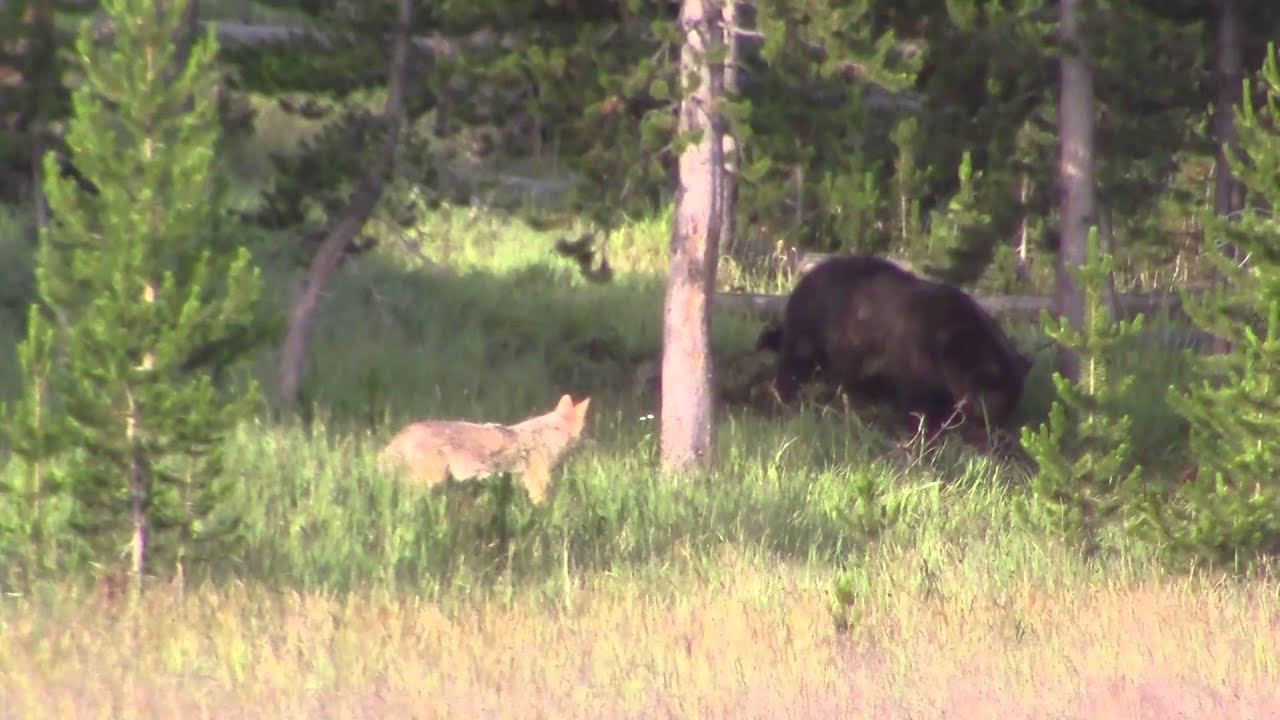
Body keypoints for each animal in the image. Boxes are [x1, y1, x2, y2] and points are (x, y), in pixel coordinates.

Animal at [761, 254, 1033, 437]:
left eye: (1013, 402)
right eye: (999, 405)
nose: (998, 427)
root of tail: (801, 282)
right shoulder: (916, 355)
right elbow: (916, 402)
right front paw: (924, 426)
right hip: (812, 329)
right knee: (794, 362)